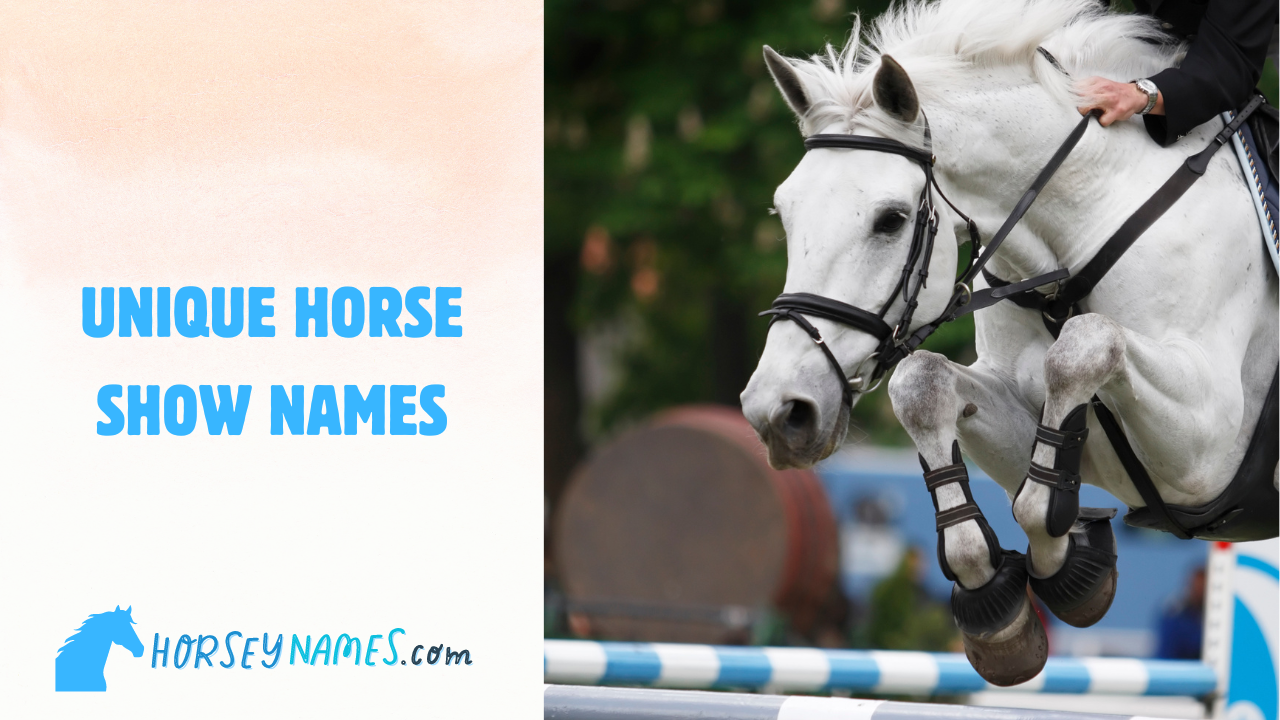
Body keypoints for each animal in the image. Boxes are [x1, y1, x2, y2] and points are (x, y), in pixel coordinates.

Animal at [740, 0, 1278, 686]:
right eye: (784, 213)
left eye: (890, 220)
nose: (779, 412)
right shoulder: (1075, 440)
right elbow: (924, 384)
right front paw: (1009, 589)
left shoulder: (1206, 455)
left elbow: (1083, 346)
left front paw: (1068, 568)